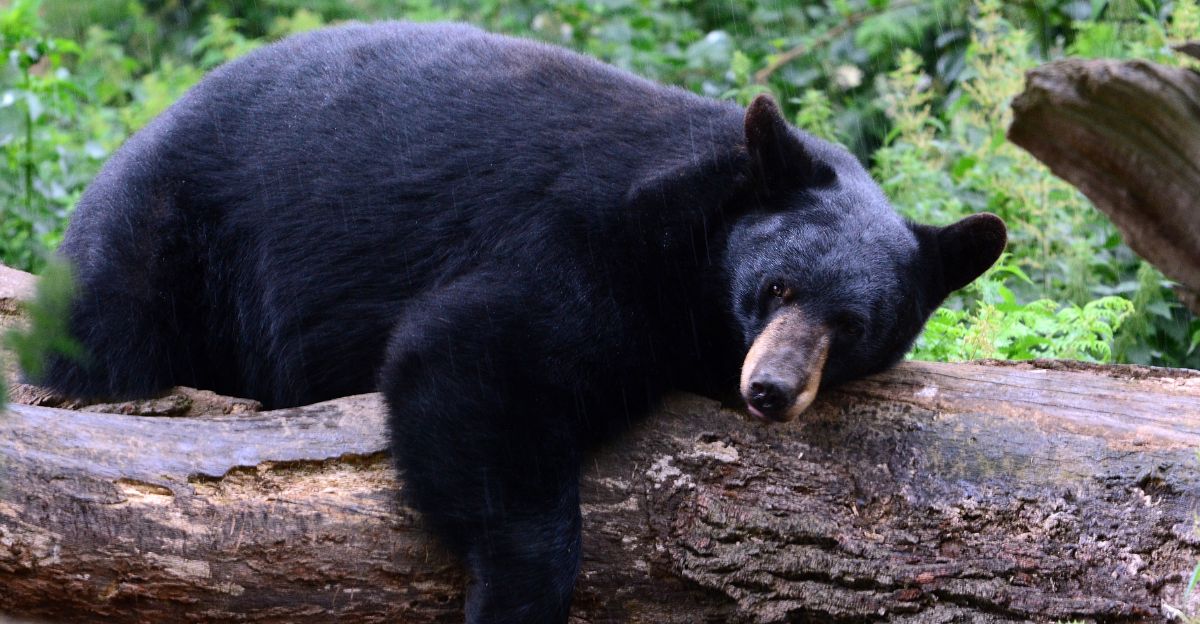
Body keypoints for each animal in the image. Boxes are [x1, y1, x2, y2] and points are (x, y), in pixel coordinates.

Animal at [38, 22, 1006, 624]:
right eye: (775, 287)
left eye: (854, 324)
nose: (769, 390)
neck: (695, 233)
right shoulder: (585, 239)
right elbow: (475, 358)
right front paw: (516, 592)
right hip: (165, 237)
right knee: (109, 338)